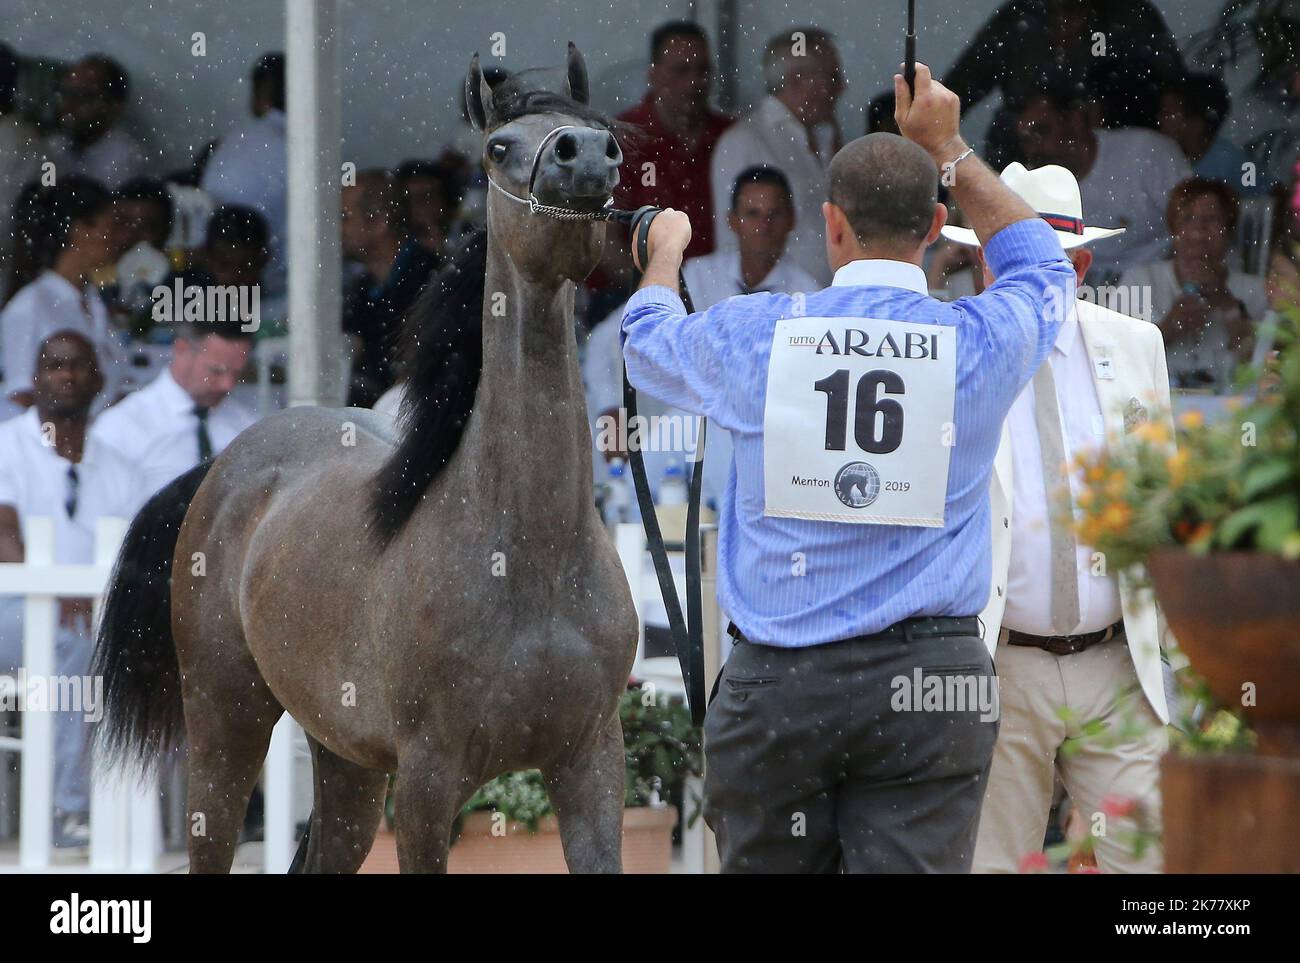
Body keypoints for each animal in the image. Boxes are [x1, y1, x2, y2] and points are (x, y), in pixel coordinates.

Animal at [92, 44, 640, 873]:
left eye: (600, 126)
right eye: (498, 148)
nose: (585, 159)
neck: (528, 556)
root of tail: (224, 468)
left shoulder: (590, 761)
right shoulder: (428, 782)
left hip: (345, 756)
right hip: (227, 718)